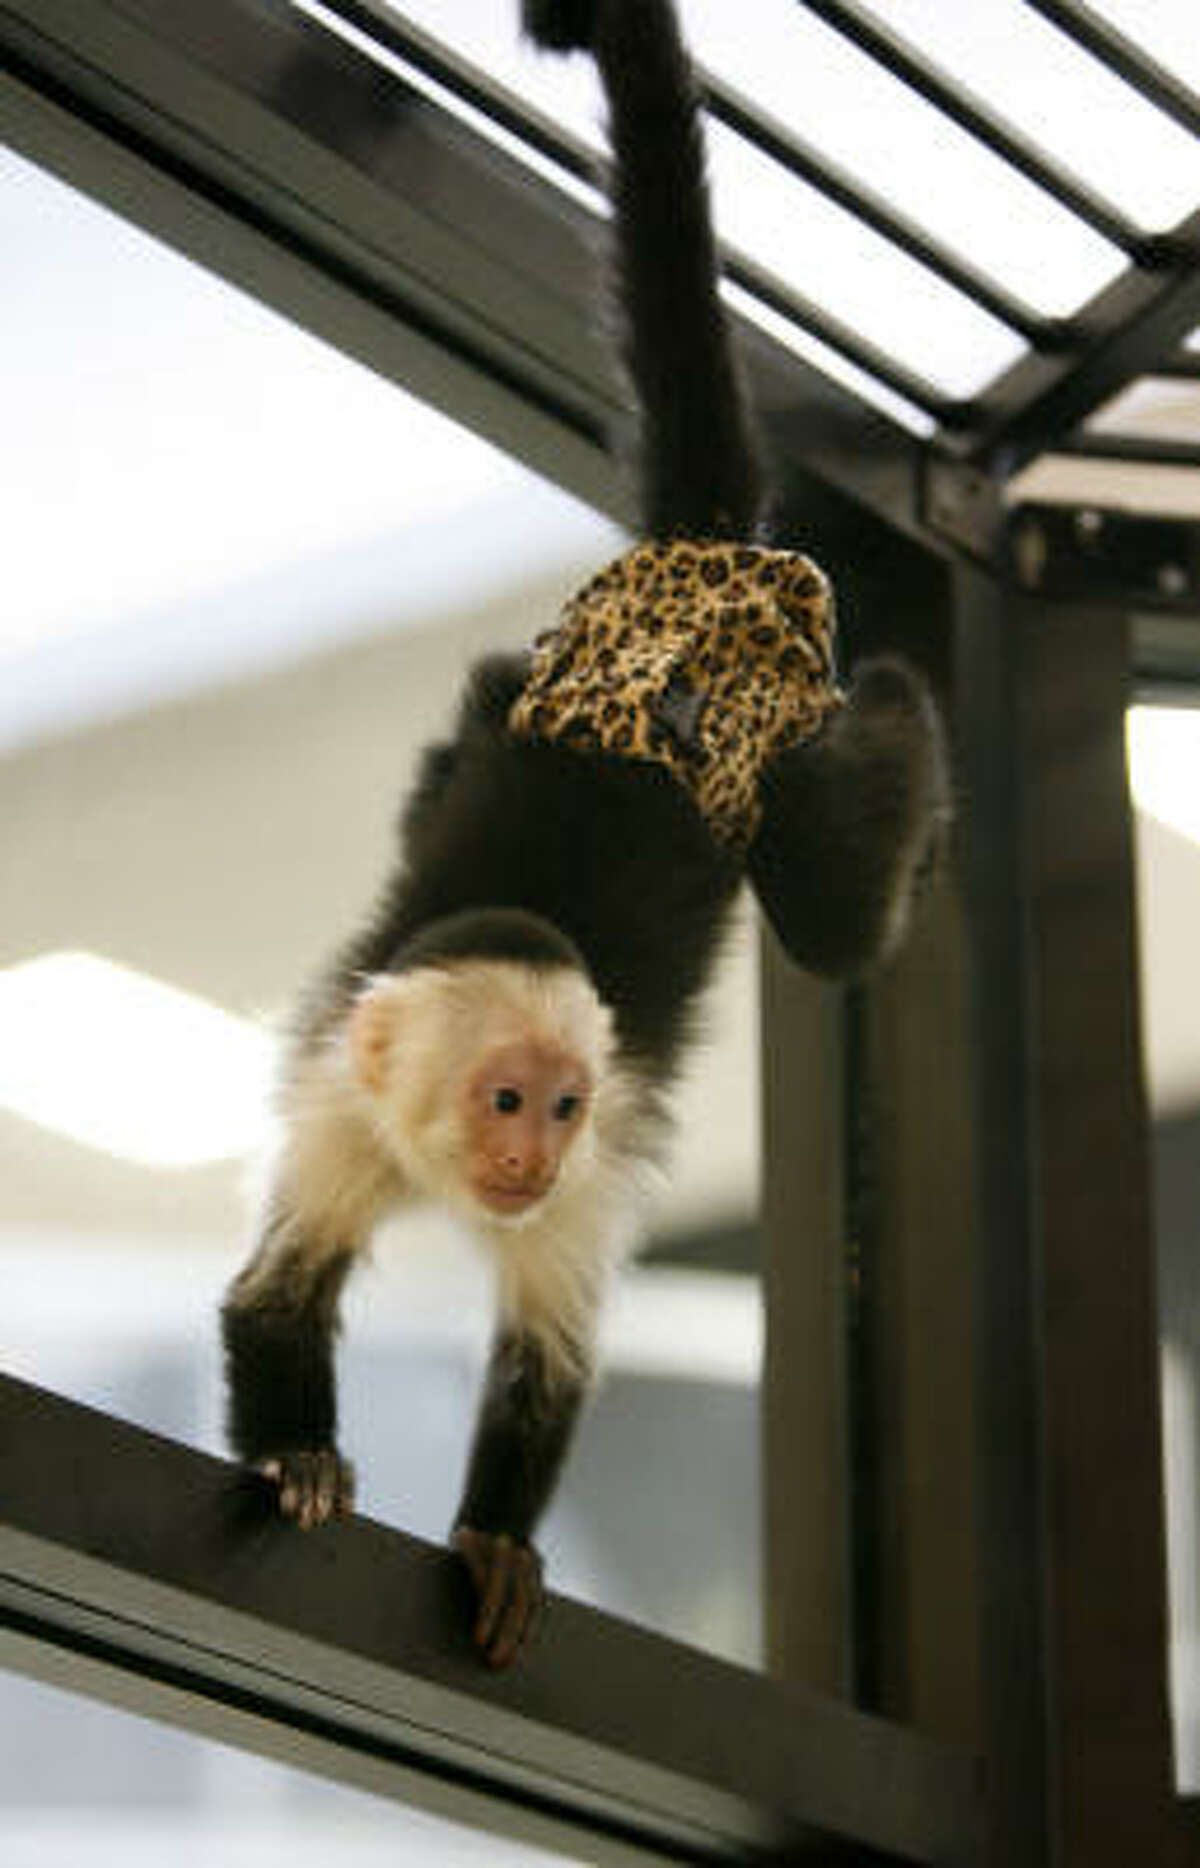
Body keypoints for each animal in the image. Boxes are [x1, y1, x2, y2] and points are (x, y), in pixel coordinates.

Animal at [221, 0, 948, 1669]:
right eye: (505, 1099)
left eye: (562, 1106)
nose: (530, 1157)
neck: (428, 1153)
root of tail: (698, 562)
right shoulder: (336, 1104)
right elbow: (272, 1301)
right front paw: (299, 1454)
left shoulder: (596, 1158)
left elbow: (547, 1365)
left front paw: (494, 1537)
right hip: (517, 685)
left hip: (786, 720)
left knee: (832, 901)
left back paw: (900, 705)